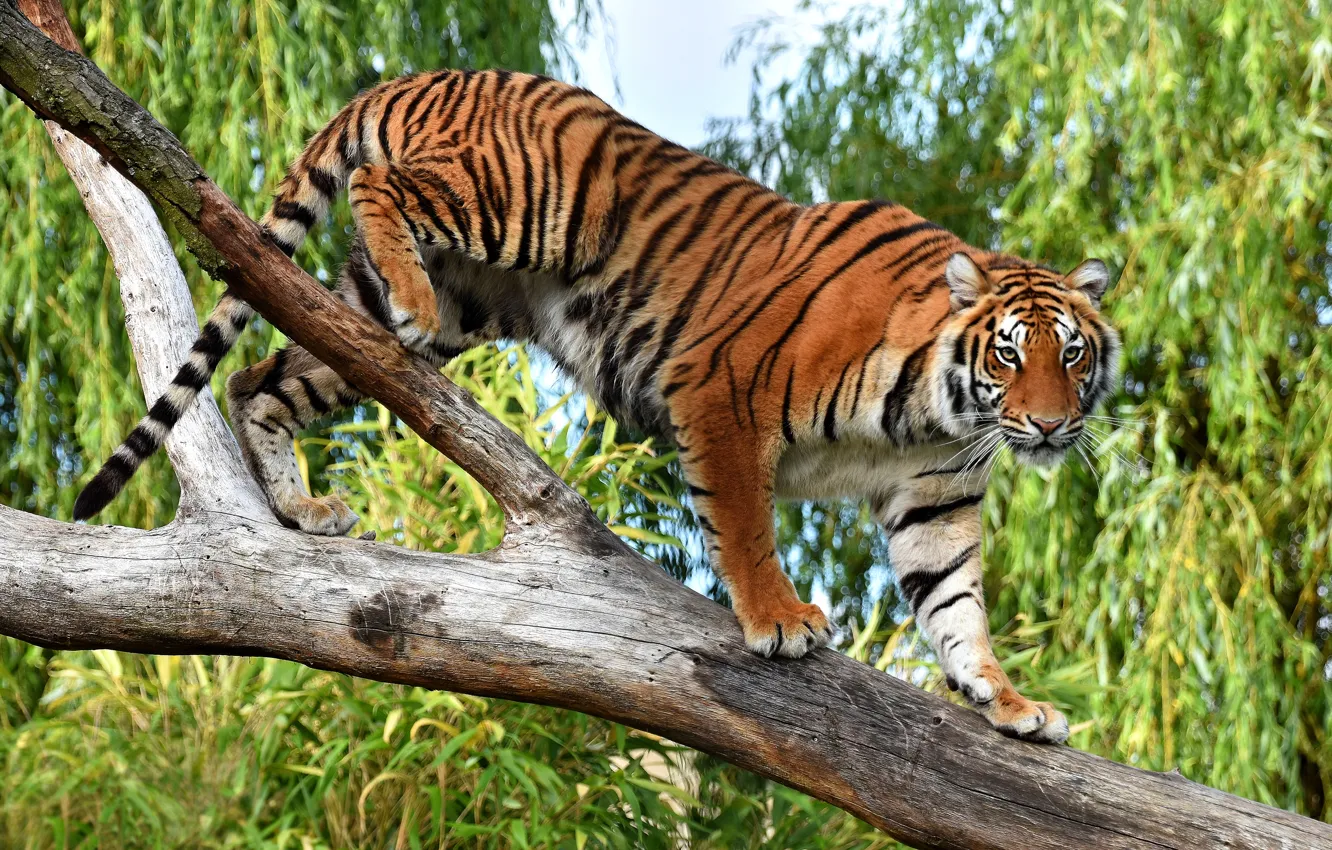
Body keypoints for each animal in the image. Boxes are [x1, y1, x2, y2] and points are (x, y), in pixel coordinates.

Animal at [73, 69, 1120, 744]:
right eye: (1010, 353)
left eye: (1071, 354)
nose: (1053, 423)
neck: (942, 409)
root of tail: (428, 73)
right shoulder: (725, 389)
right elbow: (747, 528)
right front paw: (781, 621)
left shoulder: (934, 496)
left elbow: (956, 605)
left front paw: (1007, 703)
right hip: (522, 200)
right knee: (378, 185)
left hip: (411, 311)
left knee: (257, 378)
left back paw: (302, 508)